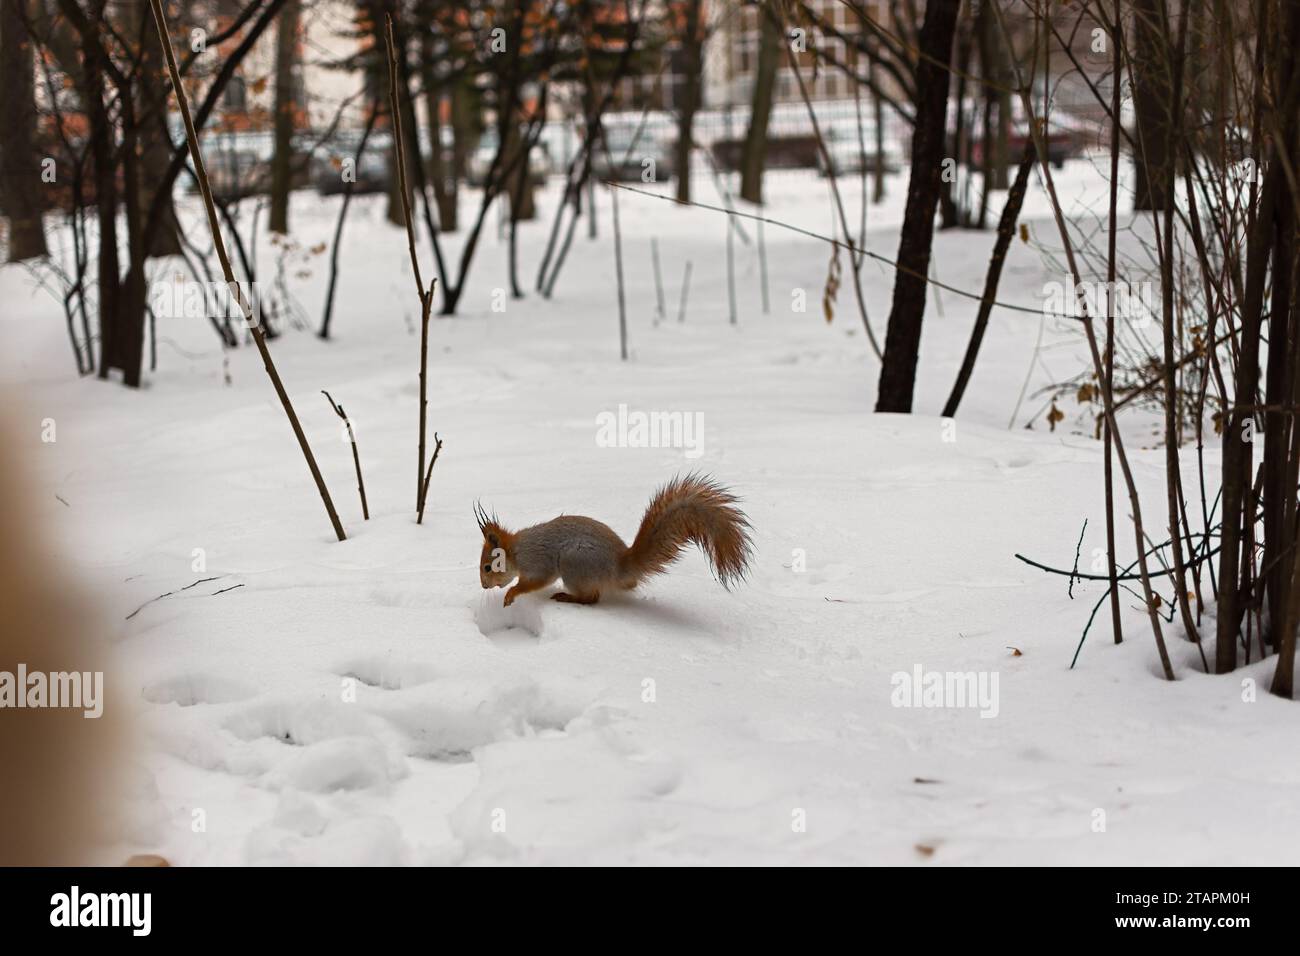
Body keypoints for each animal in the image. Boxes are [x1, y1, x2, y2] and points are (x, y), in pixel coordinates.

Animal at [475, 473, 753, 606]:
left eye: (488, 567)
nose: (484, 587)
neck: (516, 551)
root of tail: (621, 566)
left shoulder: (537, 561)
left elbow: (536, 581)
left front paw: (511, 594)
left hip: (574, 563)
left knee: (593, 598)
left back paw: (568, 598)